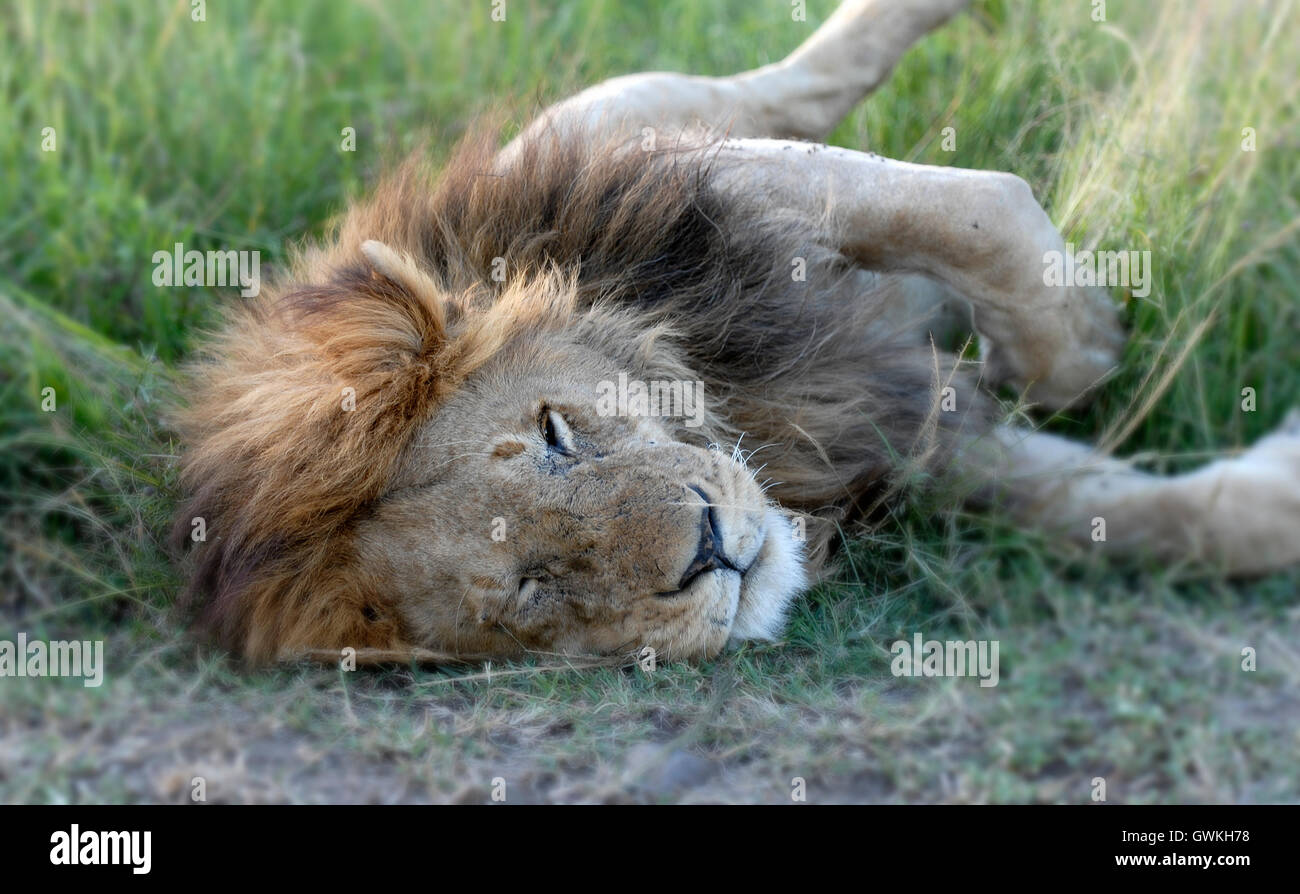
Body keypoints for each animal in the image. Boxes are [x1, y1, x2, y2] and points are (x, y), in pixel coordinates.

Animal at [174, 0, 1300, 665]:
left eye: (554, 434)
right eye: (534, 591)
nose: (710, 550)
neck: (741, 397)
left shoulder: (726, 197)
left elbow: (983, 209)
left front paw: (1075, 347)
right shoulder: (903, 437)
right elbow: (1177, 521)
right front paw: (1272, 486)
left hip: (617, 117)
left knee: (789, 84)